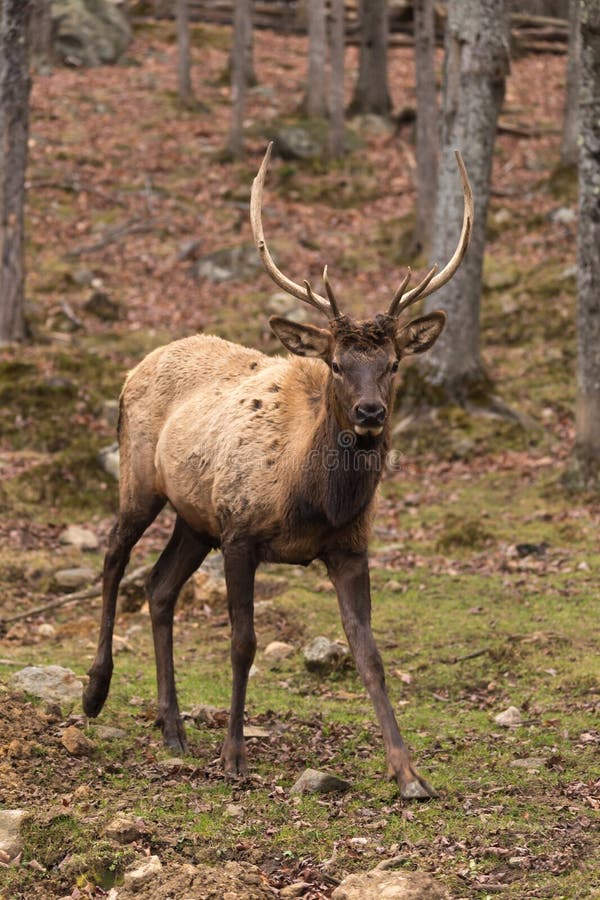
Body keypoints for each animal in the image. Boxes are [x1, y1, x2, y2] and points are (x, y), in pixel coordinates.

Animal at [83, 143, 473, 800]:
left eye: (394, 363)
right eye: (337, 364)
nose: (370, 413)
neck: (315, 499)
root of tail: (138, 365)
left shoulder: (349, 548)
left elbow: (370, 655)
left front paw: (409, 774)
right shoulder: (241, 533)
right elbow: (243, 643)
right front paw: (234, 757)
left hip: (196, 519)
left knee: (160, 589)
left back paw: (173, 728)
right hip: (140, 480)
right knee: (114, 559)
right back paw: (95, 691)